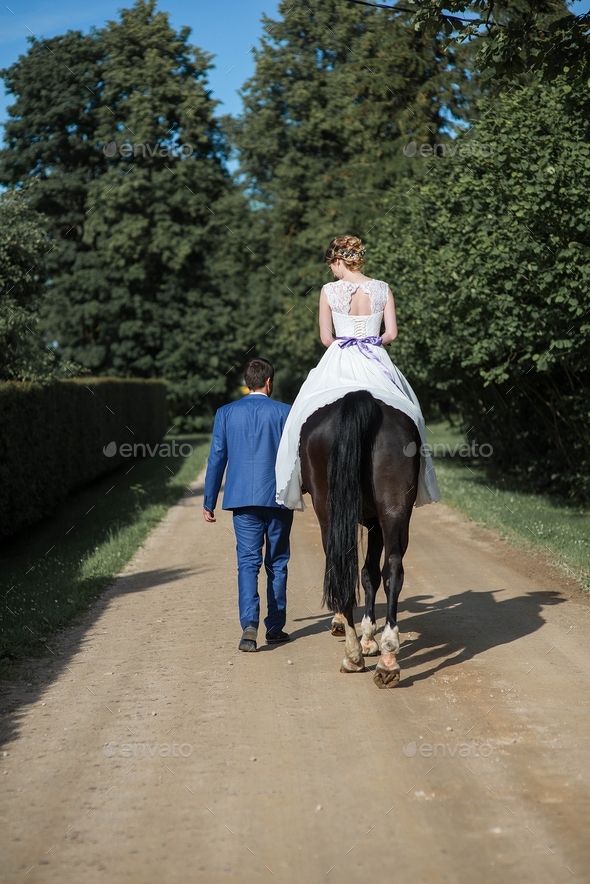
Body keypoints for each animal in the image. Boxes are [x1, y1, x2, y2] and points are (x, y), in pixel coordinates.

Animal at [300, 390, 420, 688]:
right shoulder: (376, 521)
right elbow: (371, 574)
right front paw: (370, 638)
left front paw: (357, 635)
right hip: (394, 508)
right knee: (393, 569)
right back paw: (388, 660)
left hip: (328, 512)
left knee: (340, 569)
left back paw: (353, 654)